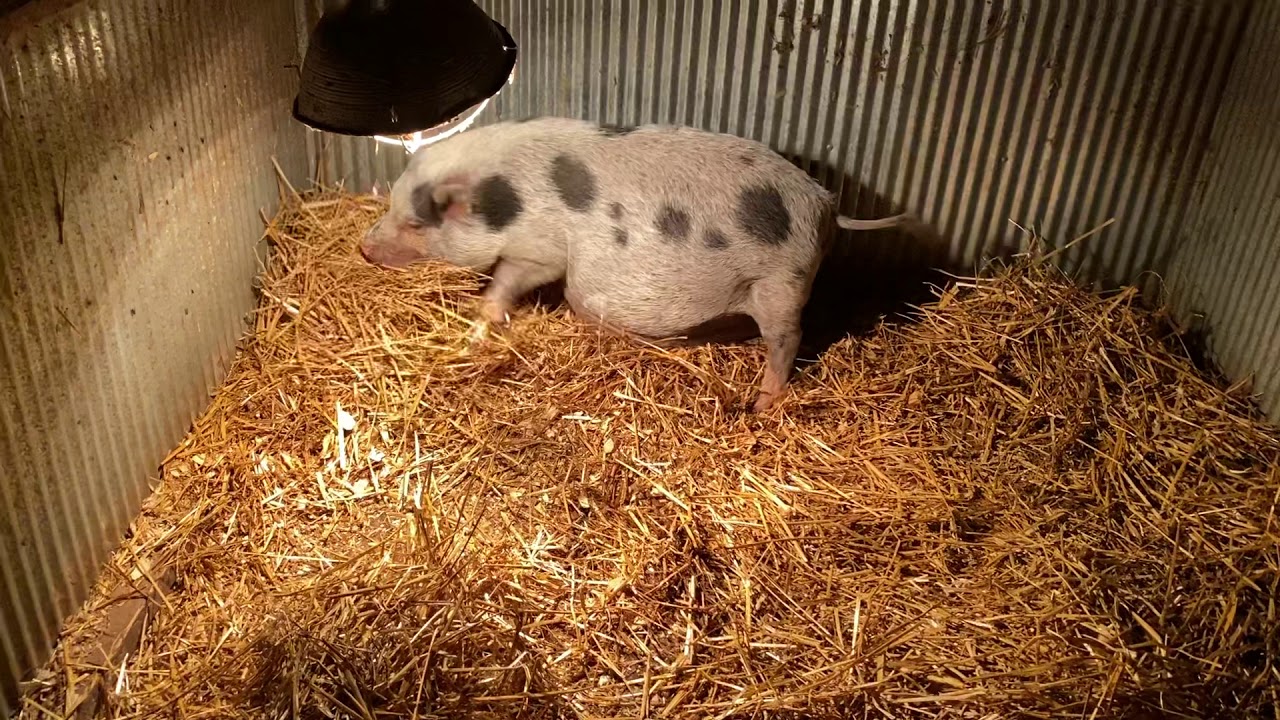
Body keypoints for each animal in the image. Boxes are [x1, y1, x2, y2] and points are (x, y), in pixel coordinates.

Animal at [360, 116, 916, 412]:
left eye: (415, 221)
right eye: (392, 202)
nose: (364, 248)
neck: (506, 198)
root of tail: (825, 204)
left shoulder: (540, 249)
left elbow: (509, 281)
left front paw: (477, 326)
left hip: (782, 281)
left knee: (789, 339)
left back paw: (759, 404)